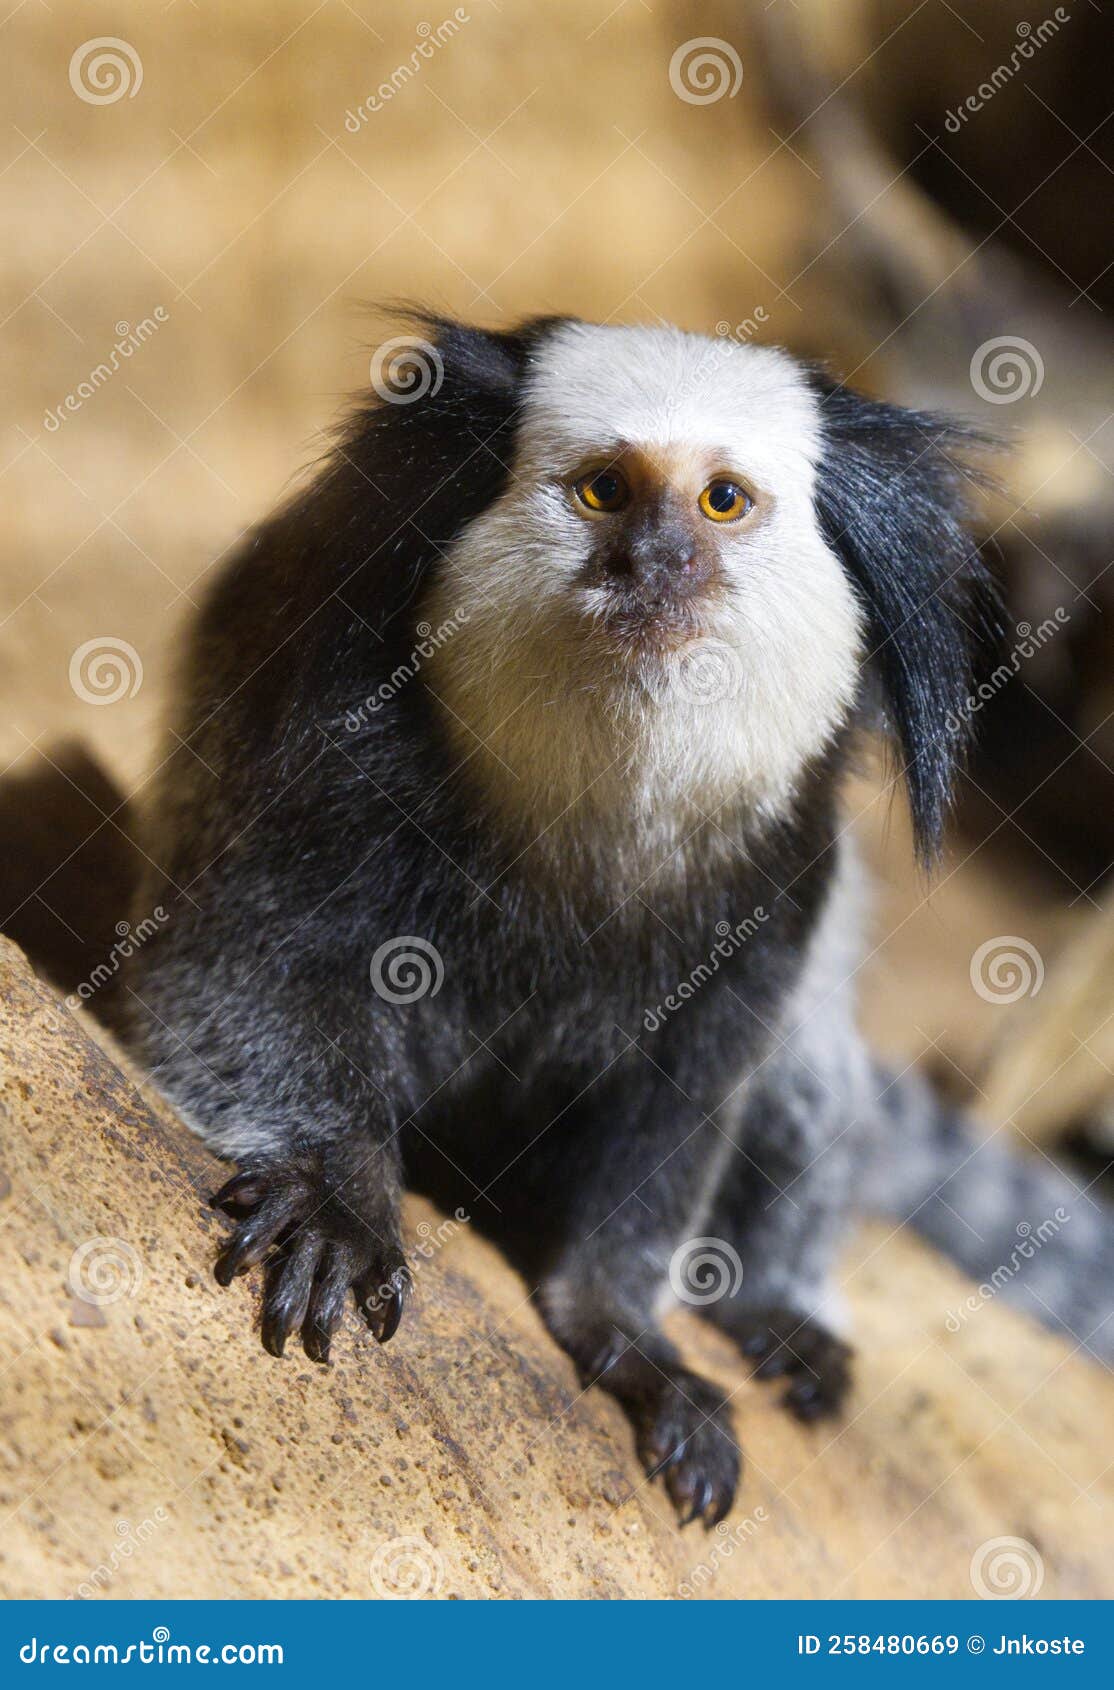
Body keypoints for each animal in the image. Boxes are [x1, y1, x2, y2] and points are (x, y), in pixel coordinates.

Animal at [118, 314, 1114, 1528]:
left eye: (722, 501)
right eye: (605, 491)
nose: (659, 561)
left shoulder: (784, 877)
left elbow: (686, 1101)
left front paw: (625, 1334)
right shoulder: (328, 738)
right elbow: (241, 978)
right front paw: (339, 1195)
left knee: (809, 1083)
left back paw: (779, 1307)